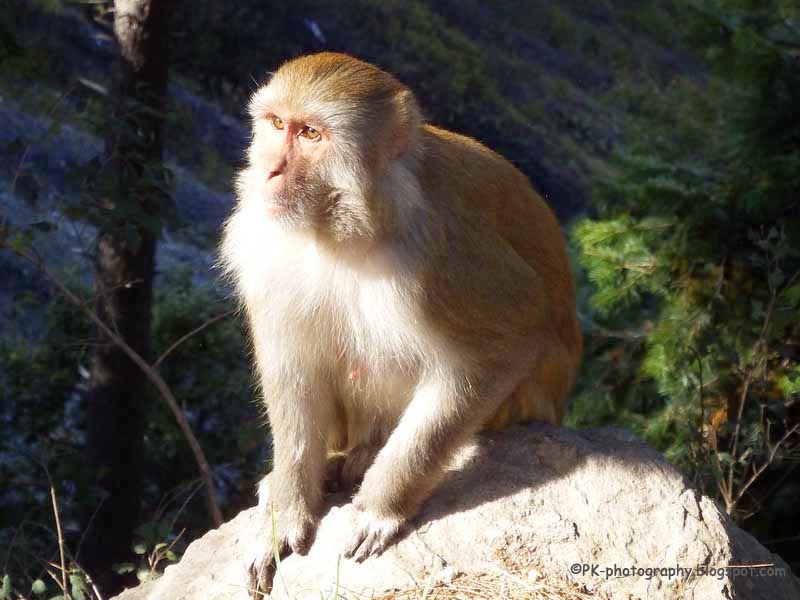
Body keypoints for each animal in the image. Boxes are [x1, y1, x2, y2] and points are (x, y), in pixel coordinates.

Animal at [219, 52, 582, 597]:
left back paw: (368, 455)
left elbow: (508, 341)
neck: (347, 226)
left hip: (527, 401)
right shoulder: (263, 244)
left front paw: (380, 508)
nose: (270, 171)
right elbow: (293, 370)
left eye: (310, 134)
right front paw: (286, 510)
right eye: (277, 125)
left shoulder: (442, 252)